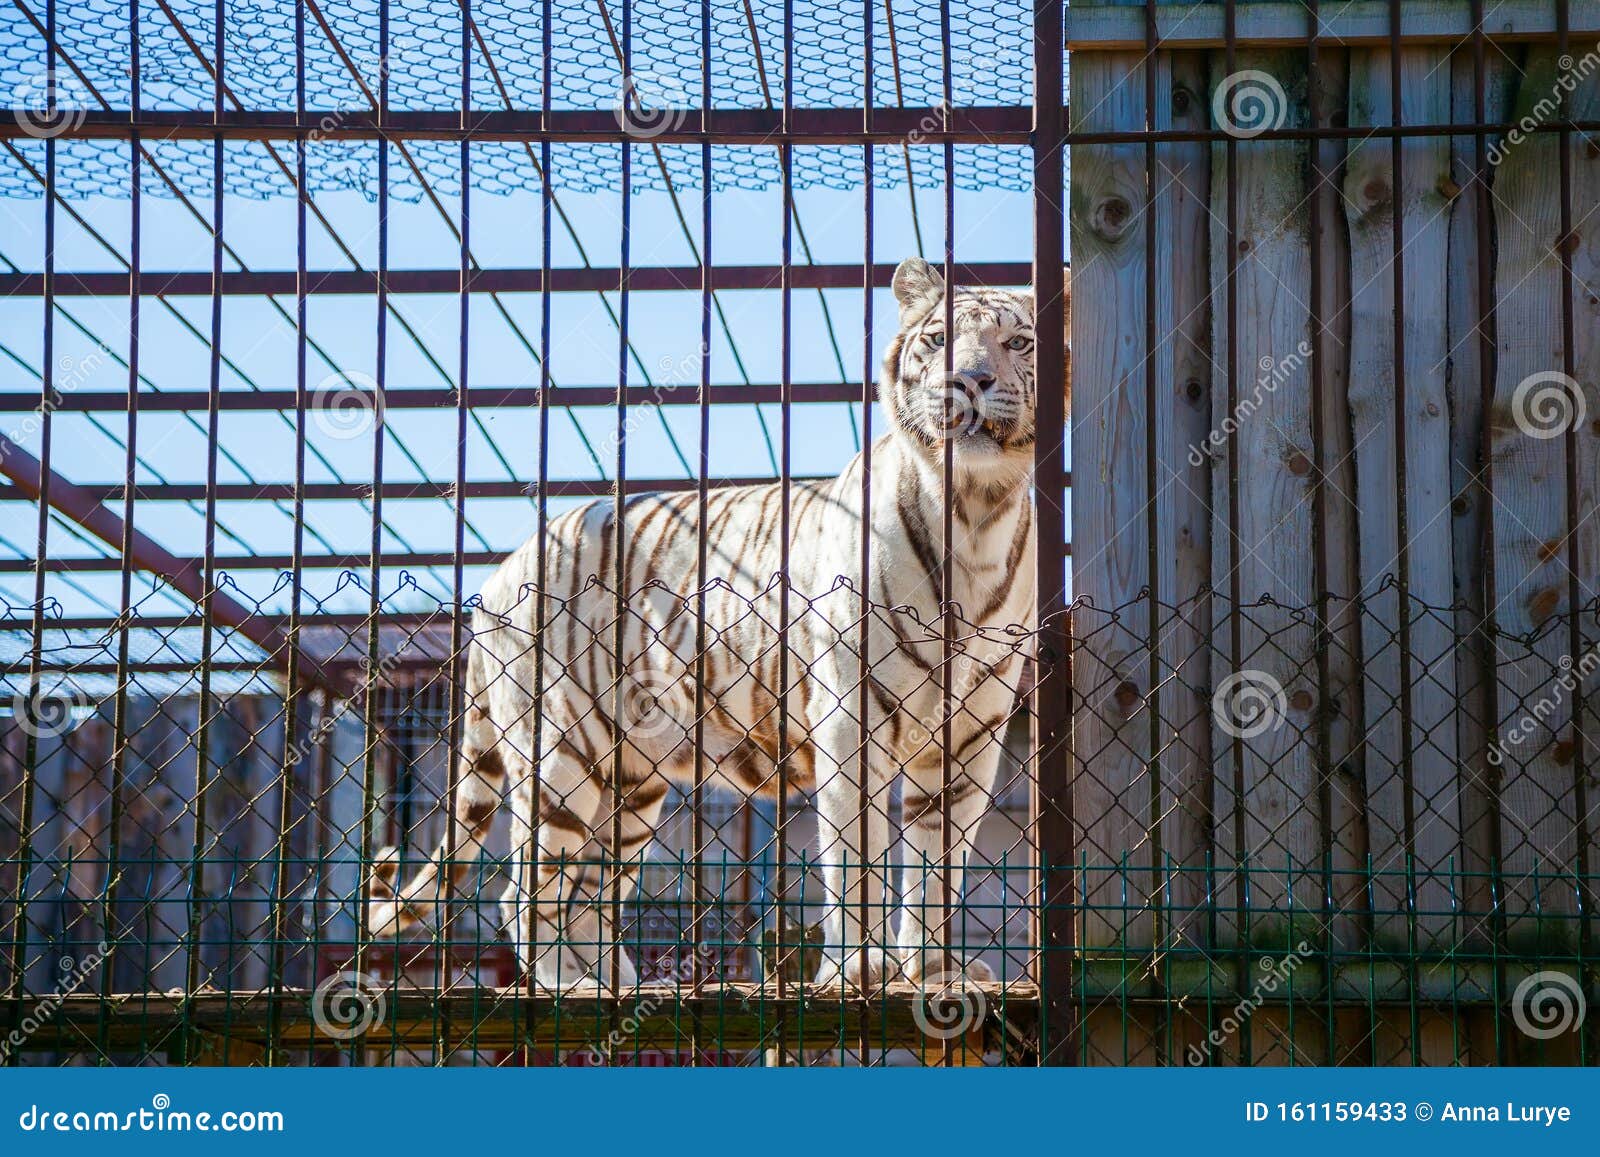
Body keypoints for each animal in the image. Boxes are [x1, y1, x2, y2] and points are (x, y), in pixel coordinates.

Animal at [365, 256, 1066, 990]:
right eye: (937, 339)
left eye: (1020, 343)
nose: (969, 379)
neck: (976, 511)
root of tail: (501, 571)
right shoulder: (851, 713)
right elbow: (856, 851)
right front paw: (858, 969)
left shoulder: (974, 727)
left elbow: (938, 858)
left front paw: (934, 972)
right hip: (560, 748)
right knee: (529, 884)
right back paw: (569, 982)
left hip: (631, 780)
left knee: (591, 889)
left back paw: (623, 982)